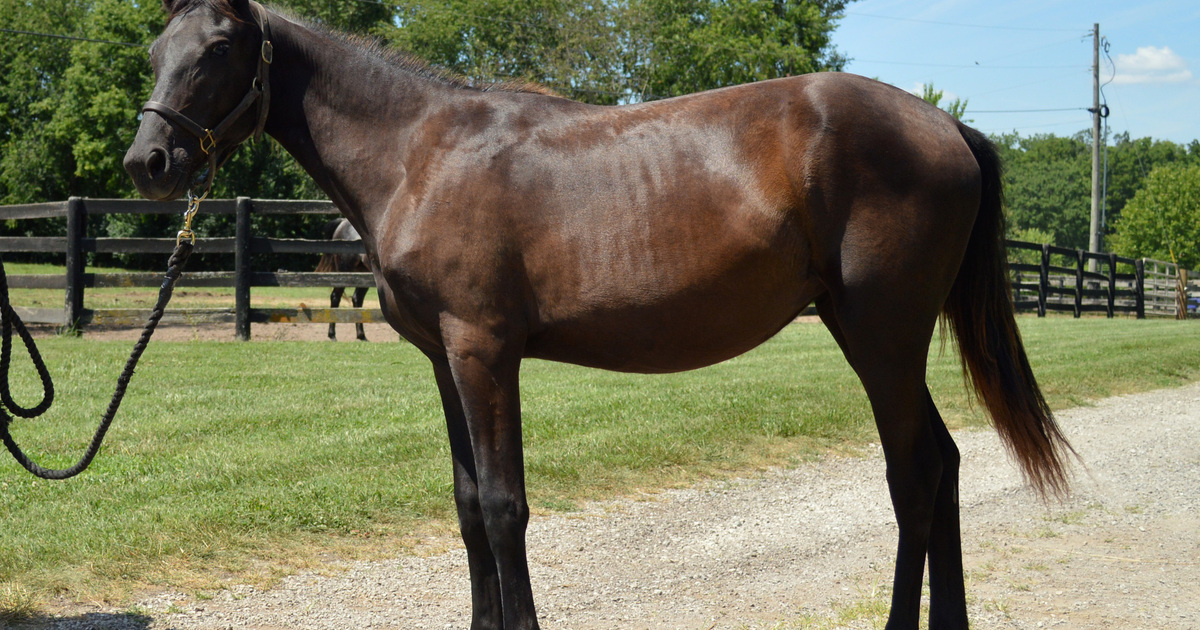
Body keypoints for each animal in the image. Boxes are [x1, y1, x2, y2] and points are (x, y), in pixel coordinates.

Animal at [123, 2, 1073, 628]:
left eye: (220, 47)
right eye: (157, 46)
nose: (148, 161)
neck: (421, 154)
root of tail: (946, 126)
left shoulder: (484, 352)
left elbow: (504, 506)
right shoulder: (442, 359)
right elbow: (467, 508)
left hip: (883, 336)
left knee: (916, 475)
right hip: (871, 334)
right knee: (940, 465)